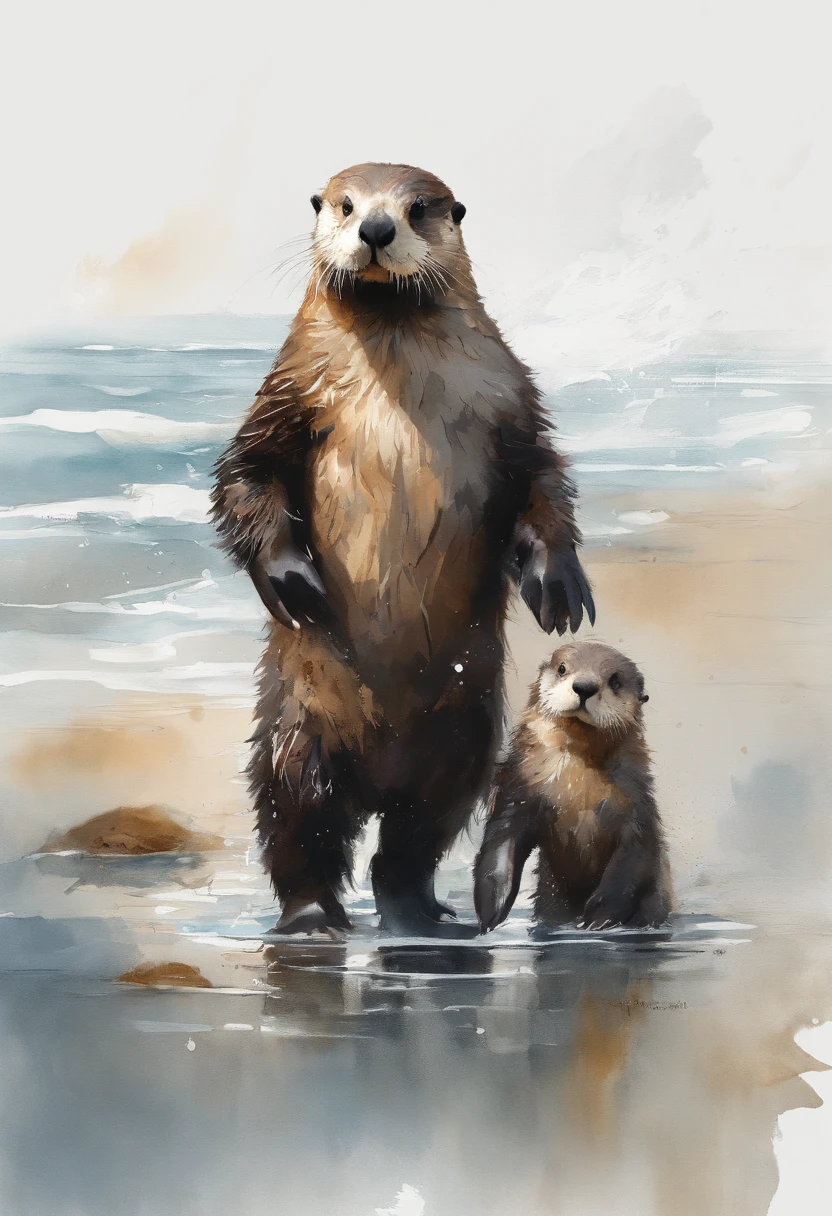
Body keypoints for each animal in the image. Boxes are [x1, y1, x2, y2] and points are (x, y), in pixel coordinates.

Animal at [212, 162, 595, 935]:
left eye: (418, 208)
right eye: (345, 203)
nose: (378, 228)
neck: (395, 383)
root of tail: (376, 775)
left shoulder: (513, 400)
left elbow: (543, 481)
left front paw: (557, 580)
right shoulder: (285, 394)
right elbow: (246, 473)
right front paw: (291, 579)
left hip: (465, 736)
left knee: (413, 835)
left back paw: (420, 912)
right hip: (298, 726)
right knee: (298, 821)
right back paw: (311, 916)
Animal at [474, 642, 671, 932]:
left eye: (615, 681)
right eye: (562, 668)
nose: (585, 687)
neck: (577, 787)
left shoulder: (636, 804)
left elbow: (633, 859)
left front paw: (598, 918)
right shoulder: (517, 789)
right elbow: (500, 840)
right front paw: (491, 911)